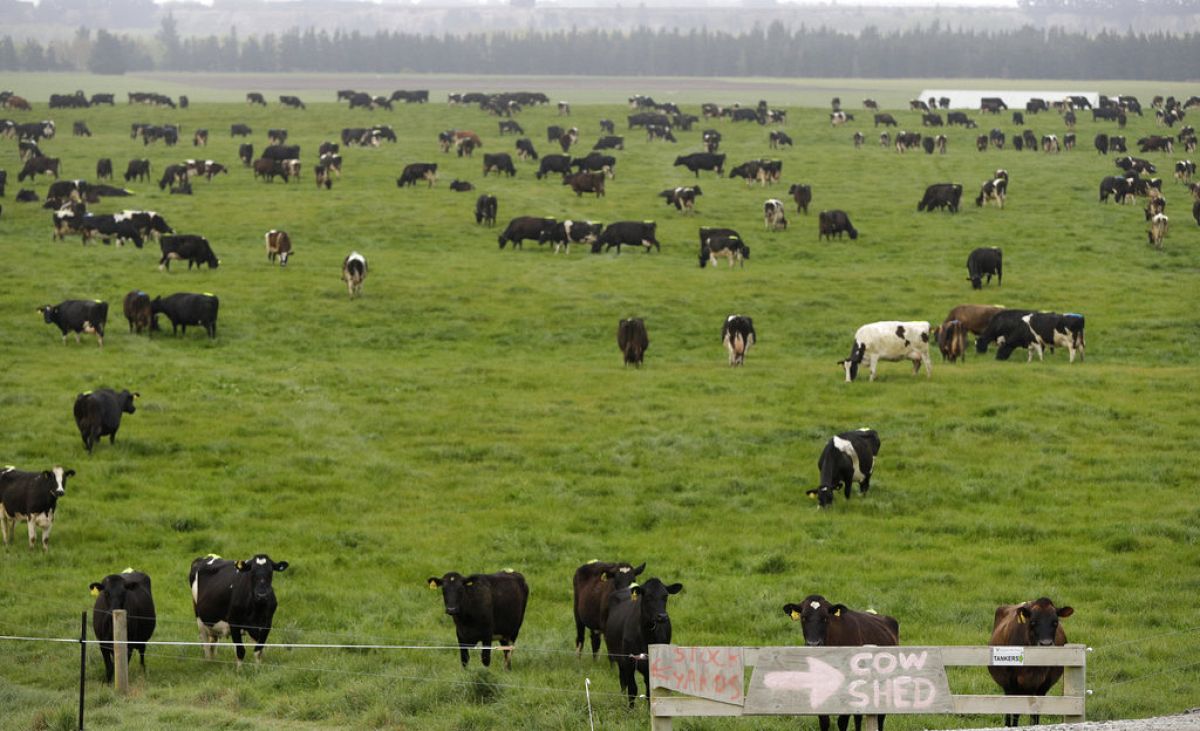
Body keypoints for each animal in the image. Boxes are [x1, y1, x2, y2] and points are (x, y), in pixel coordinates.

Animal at [605, 577, 683, 706]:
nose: (662, 616)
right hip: (618, 656)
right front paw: (630, 709)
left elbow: (649, 693)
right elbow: (632, 689)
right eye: (648, 596)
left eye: (665, 596)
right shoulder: (628, 660)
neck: (646, 636)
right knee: (623, 681)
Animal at [989, 598, 1074, 727]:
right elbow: (1014, 712)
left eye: (1055, 622)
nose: (1046, 644)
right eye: (1033, 622)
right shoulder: (1012, 683)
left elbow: (1035, 713)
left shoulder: (1043, 686)